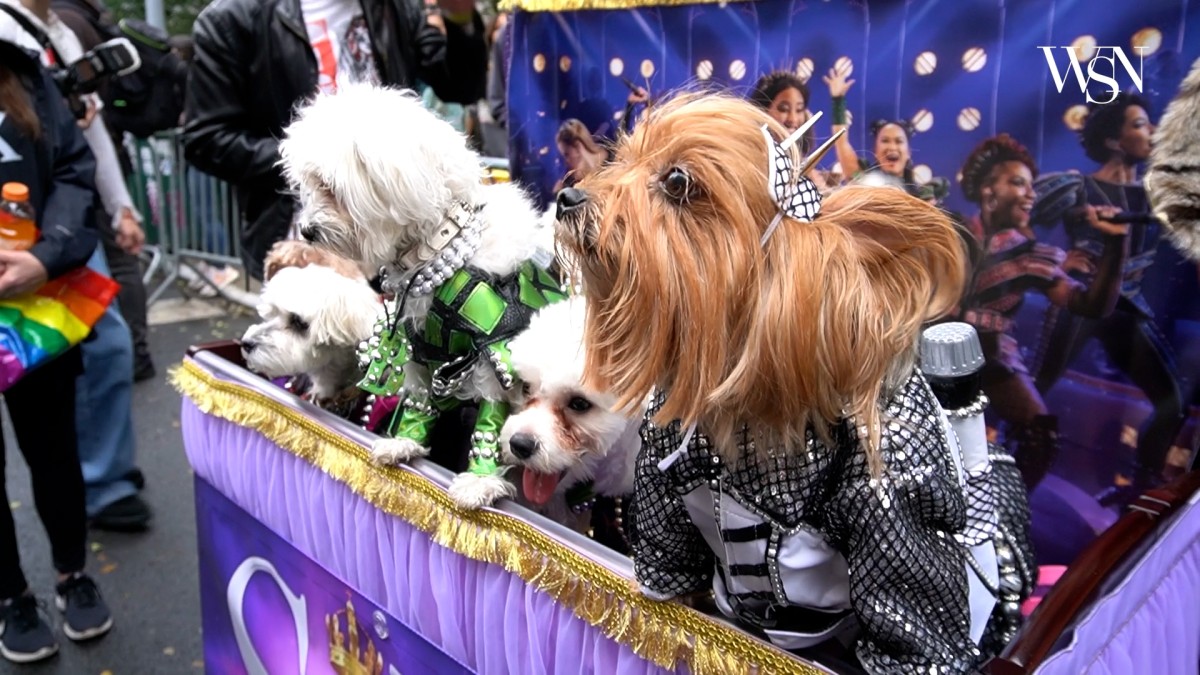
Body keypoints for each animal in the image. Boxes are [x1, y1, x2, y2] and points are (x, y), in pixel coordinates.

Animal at [278, 84, 568, 504]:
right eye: (310, 184)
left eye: (329, 188)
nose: (306, 231)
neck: (438, 252)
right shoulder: (421, 352)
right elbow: (419, 401)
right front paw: (403, 441)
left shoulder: (493, 354)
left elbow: (489, 420)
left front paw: (479, 481)